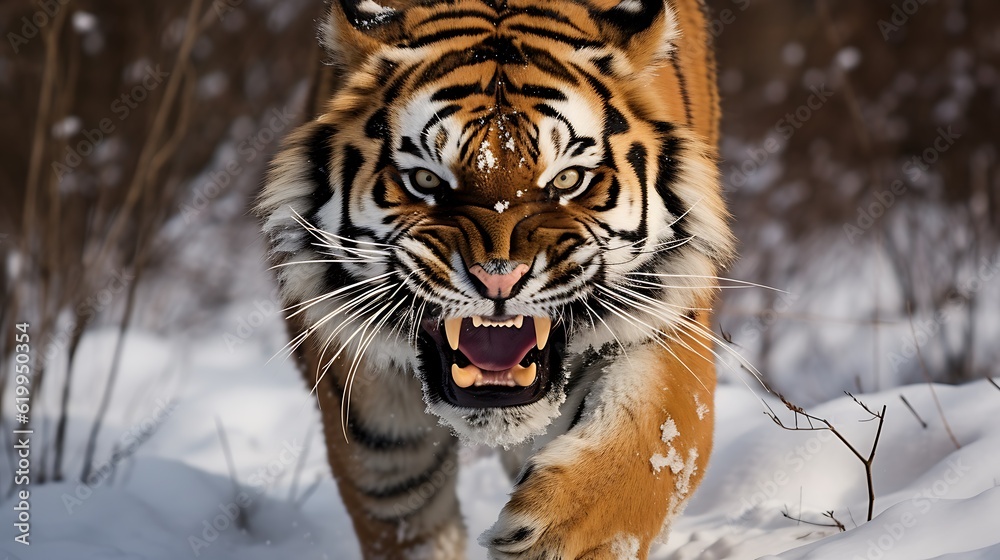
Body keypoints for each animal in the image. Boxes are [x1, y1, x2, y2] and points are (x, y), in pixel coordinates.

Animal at [256, 0, 734, 557]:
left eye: (567, 179)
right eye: (426, 179)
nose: (500, 279)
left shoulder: (671, 322)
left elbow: (652, 441)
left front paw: (552, 532)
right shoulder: (377, 439)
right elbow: (406, 523)